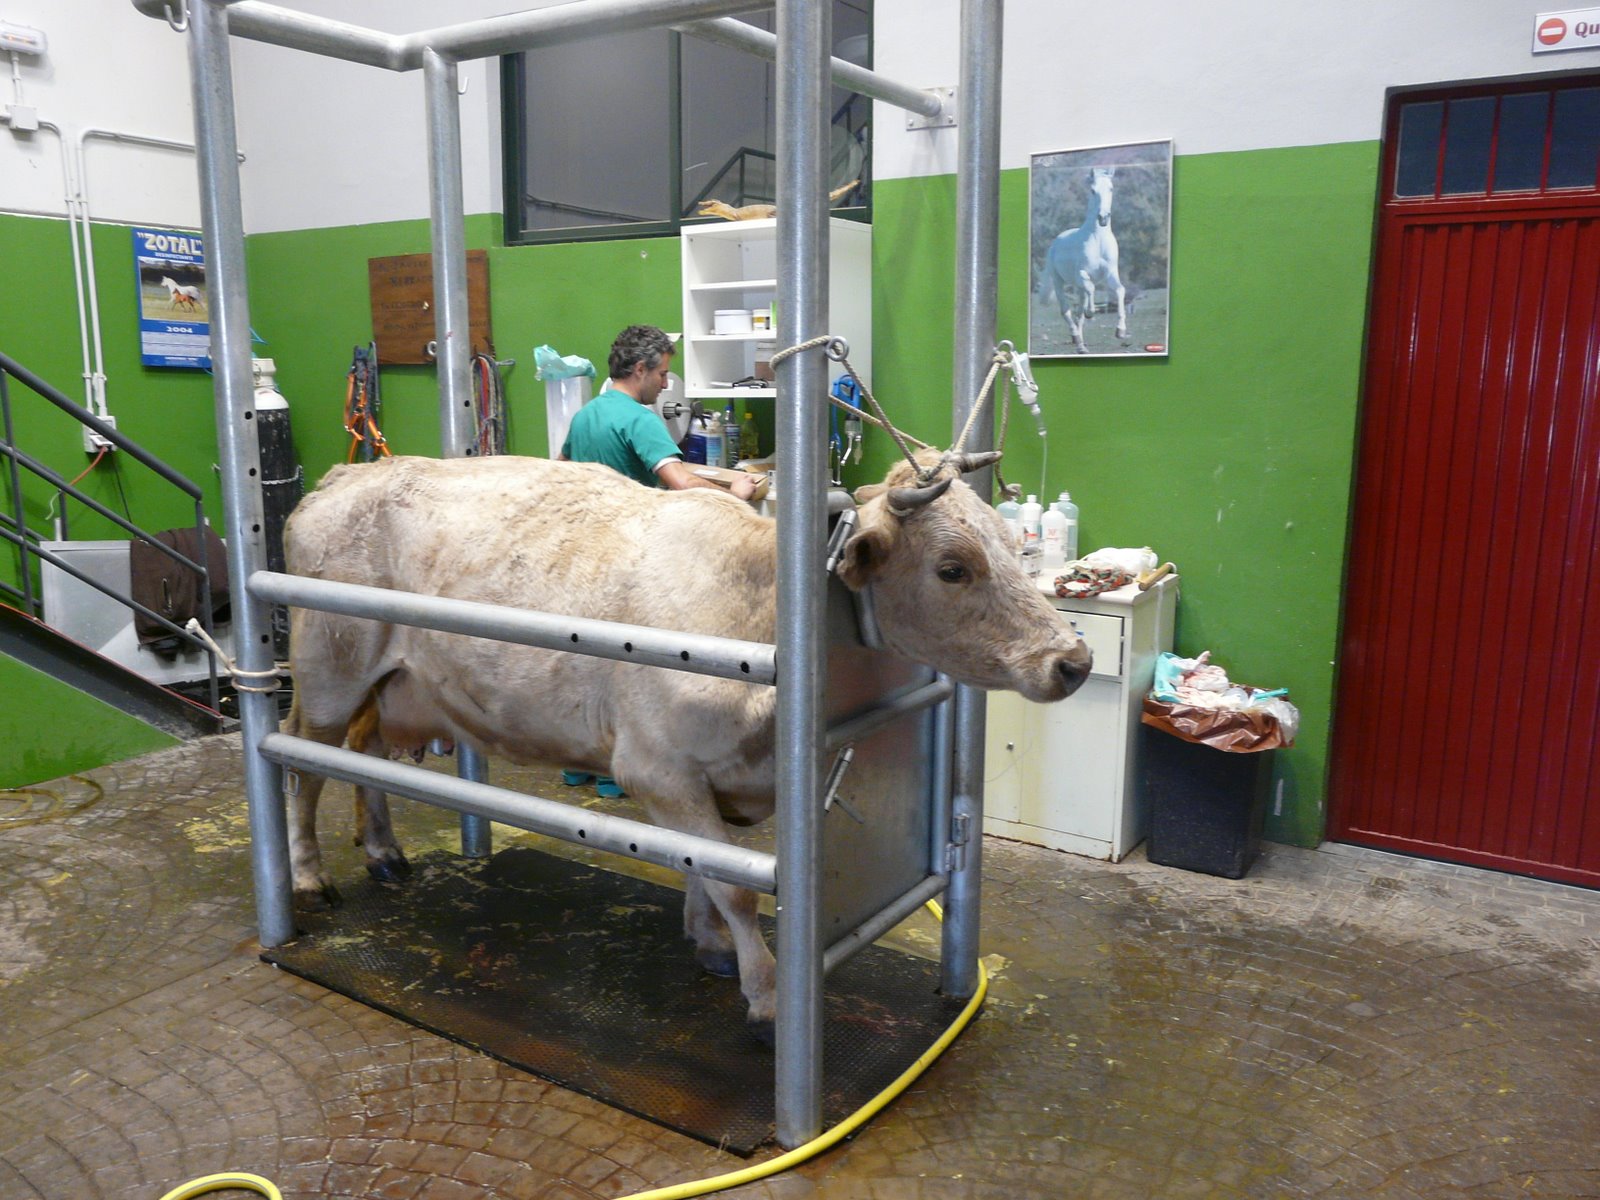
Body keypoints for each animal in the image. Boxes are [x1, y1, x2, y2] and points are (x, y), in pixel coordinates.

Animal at [280, 449, 1092, 1039]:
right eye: (954, 568)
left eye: (1013, 546)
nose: (1074, 661)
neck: (757, 608)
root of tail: (351, 474)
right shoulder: (656, 769)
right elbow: (736, 885)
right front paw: (767, 993)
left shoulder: (703, 783)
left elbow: (704, 865)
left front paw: (708, 943)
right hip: (327, 673)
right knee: (301, 763)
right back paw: (307, 877)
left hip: (388, 686)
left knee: (364, 755)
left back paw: (384, 851)